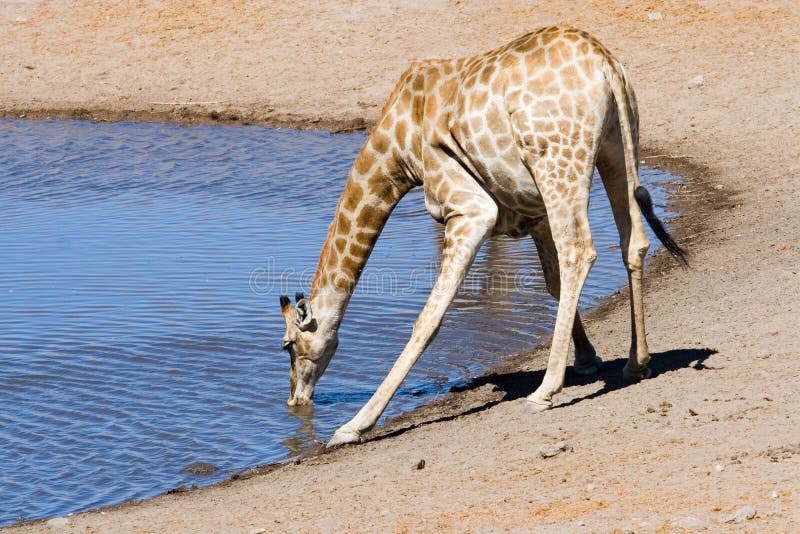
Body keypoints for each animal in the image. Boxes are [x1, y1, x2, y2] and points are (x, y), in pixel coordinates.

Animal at [278, 26, 686, 447]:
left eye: (288, 345)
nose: (295, 399)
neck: (398, 146)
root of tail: (606, 65)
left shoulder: (469, 210)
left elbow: (429, 318)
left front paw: (353, 425)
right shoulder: (532, 213)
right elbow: (553, 284)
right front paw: (588, 360)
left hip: (558, 163)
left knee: (578, 251)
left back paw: (544, 391)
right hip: (615, 146)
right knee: (633, 241)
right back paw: (637, 363)